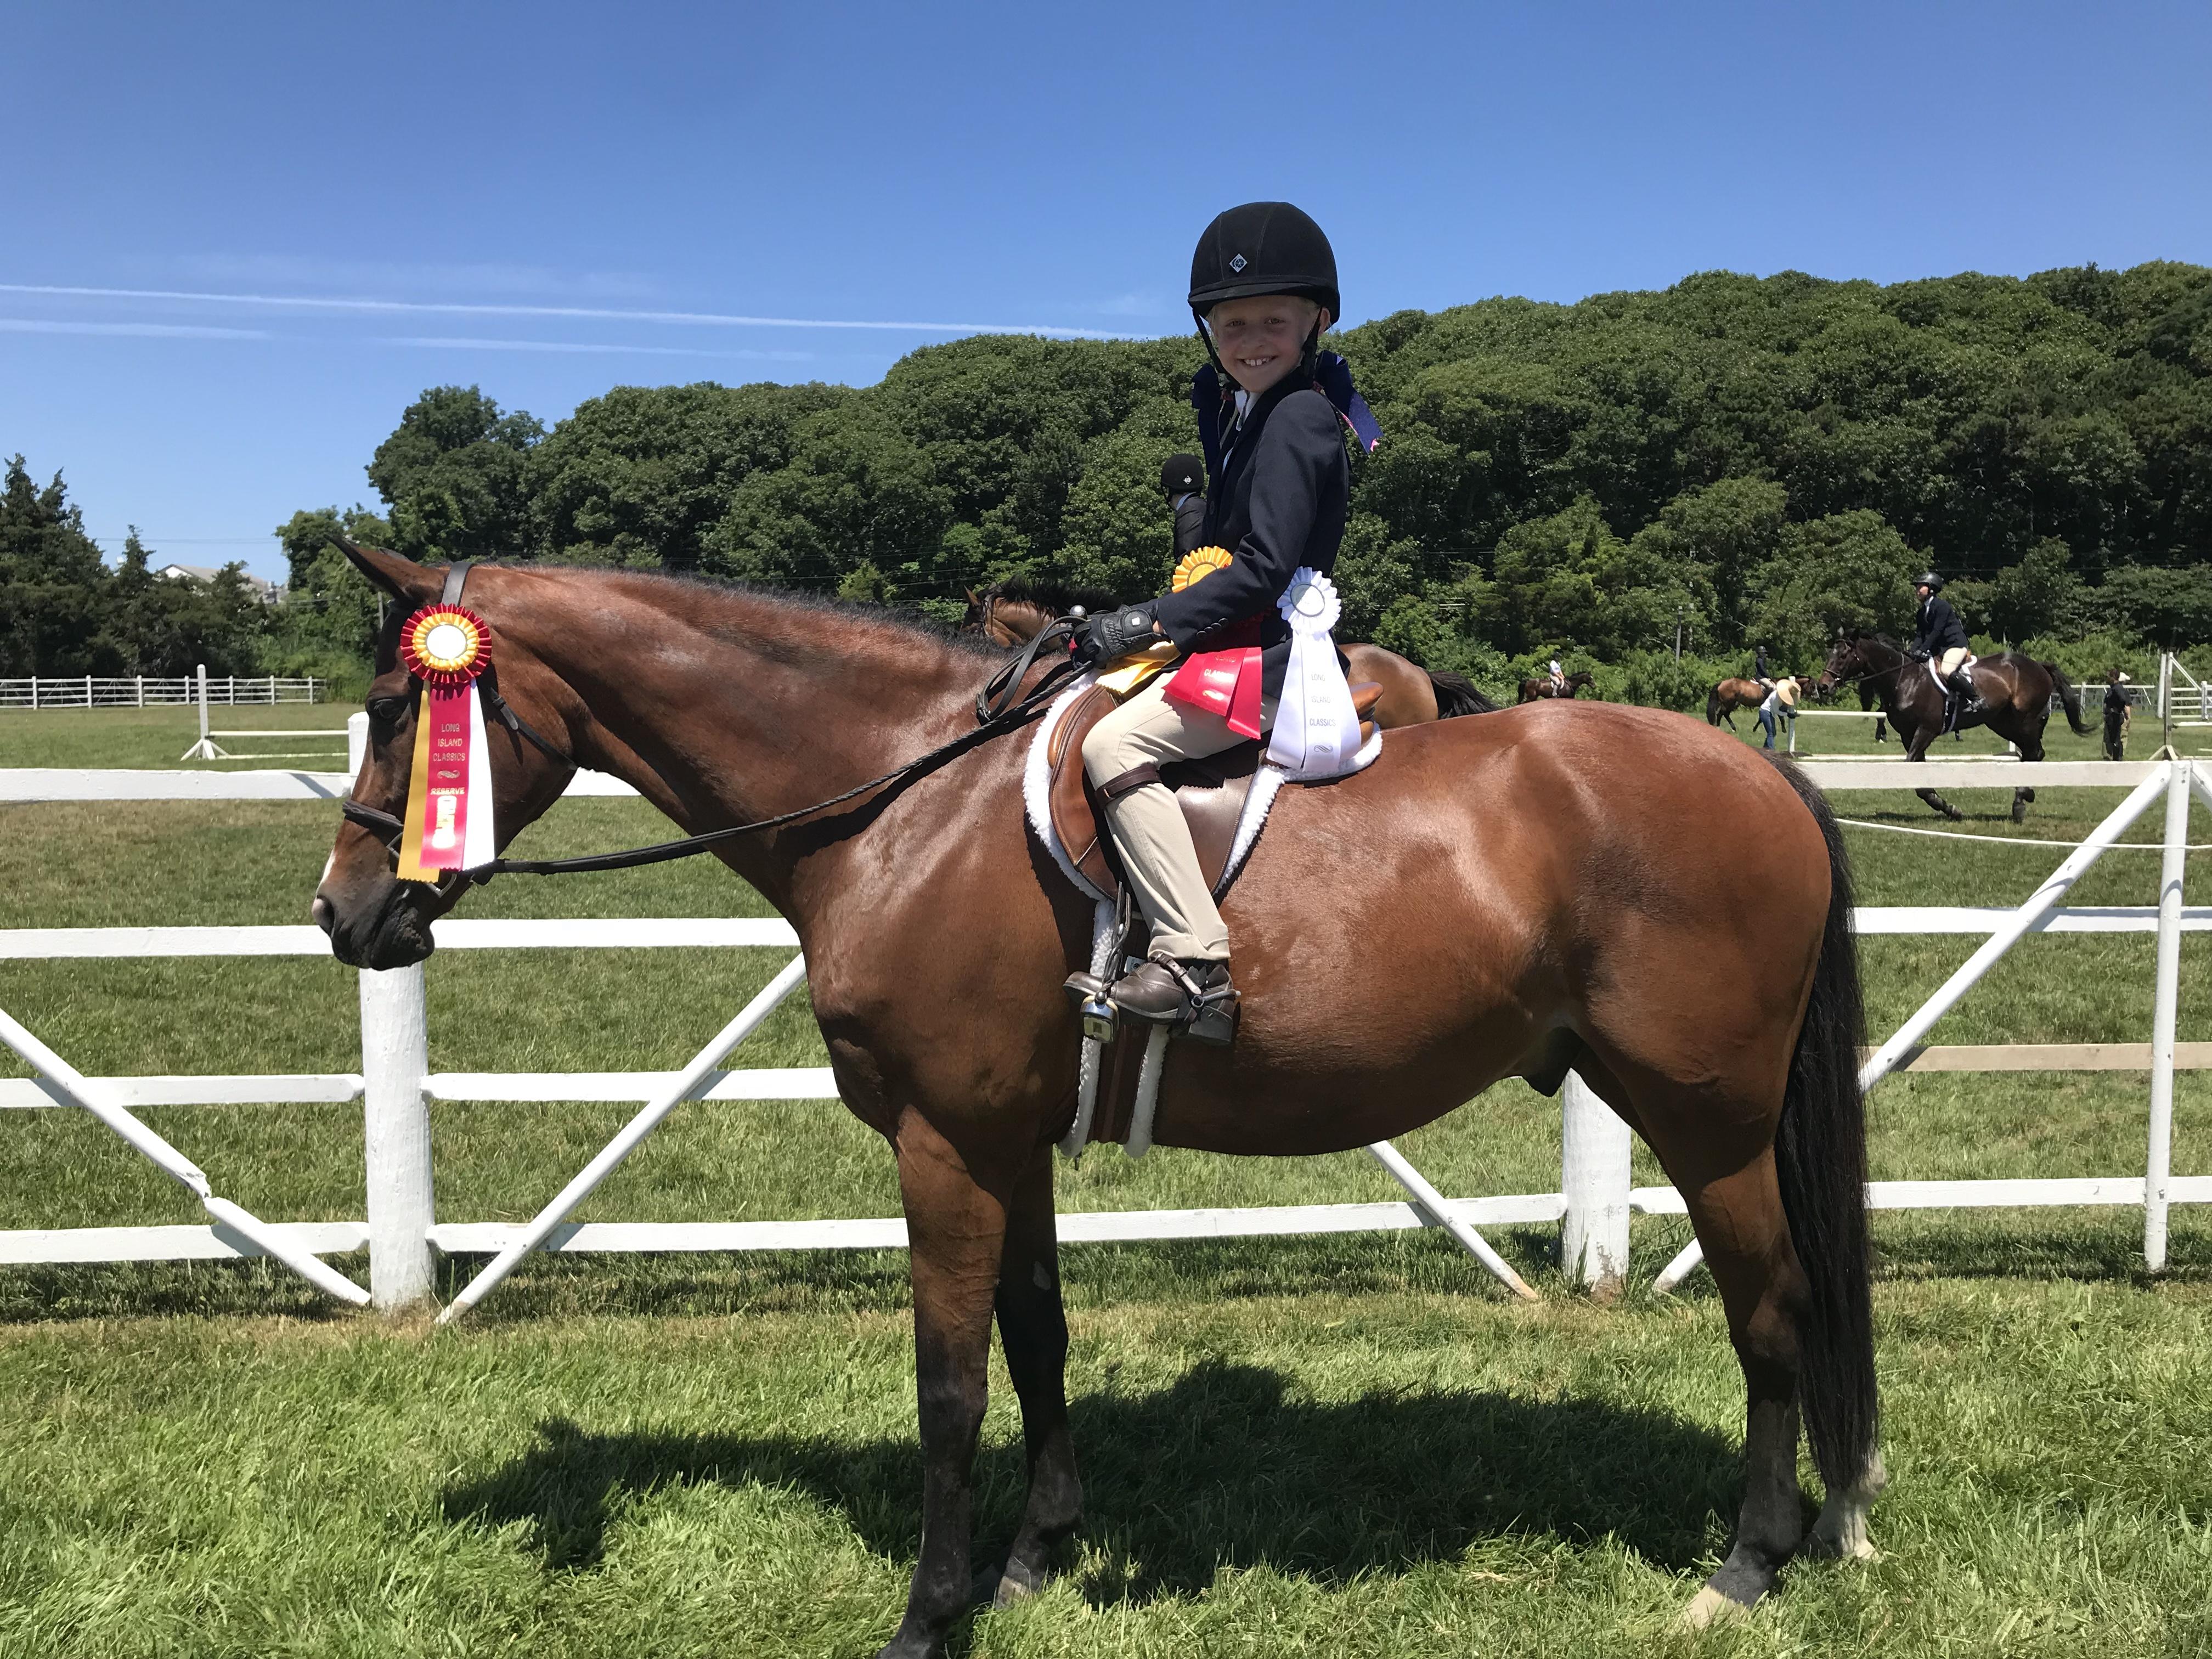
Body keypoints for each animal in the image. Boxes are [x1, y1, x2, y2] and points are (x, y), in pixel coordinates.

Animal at [1517, 670, 1593, 704]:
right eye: (1590, 678)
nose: (1594, 686)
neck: (1571, 684)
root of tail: (1528, 681)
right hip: (1531, 697)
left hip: (1534, 697)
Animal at [1816, 633, 2095, 822]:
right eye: (1830, 654)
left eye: (1843, 656)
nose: (1823, 686)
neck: (1904, 679)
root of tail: (2039, 666)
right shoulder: (1909, 735)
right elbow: (1919, 776)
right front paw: (1948, 808)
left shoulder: (1926, 731)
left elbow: (1912, 770)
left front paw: (1949, 808)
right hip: (2002, 723)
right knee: (2033, 753)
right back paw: (2027, 796)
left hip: (2025, 721)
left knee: (2033, 753)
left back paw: (2020, 803)